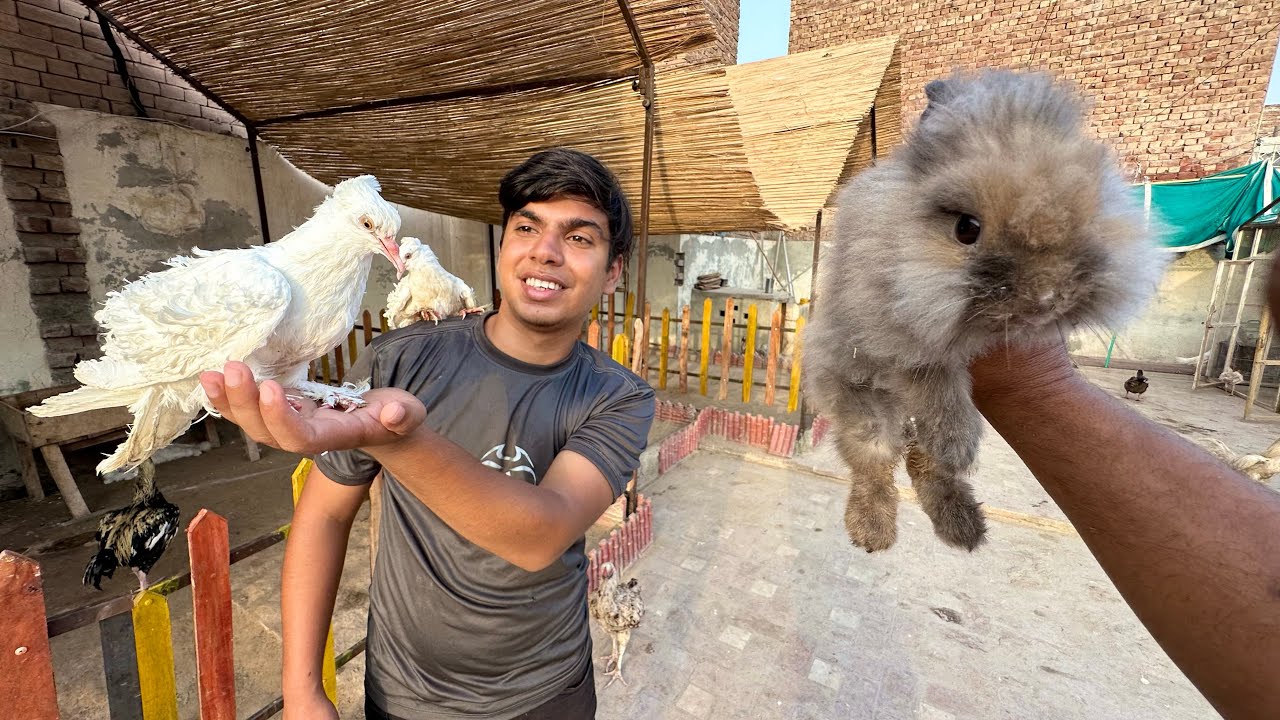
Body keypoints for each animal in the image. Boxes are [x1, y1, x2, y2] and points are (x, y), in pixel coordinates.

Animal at [802, 69, 1163, 553]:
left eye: (1086, 213)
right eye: (966, 228)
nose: (1047, 299)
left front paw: (958, 452)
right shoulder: (895, 336)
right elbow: (935, 380)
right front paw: (959, 441)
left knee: (924, 464)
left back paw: (963, 526)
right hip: (863, 408)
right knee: (876, 463)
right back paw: (874, 529)